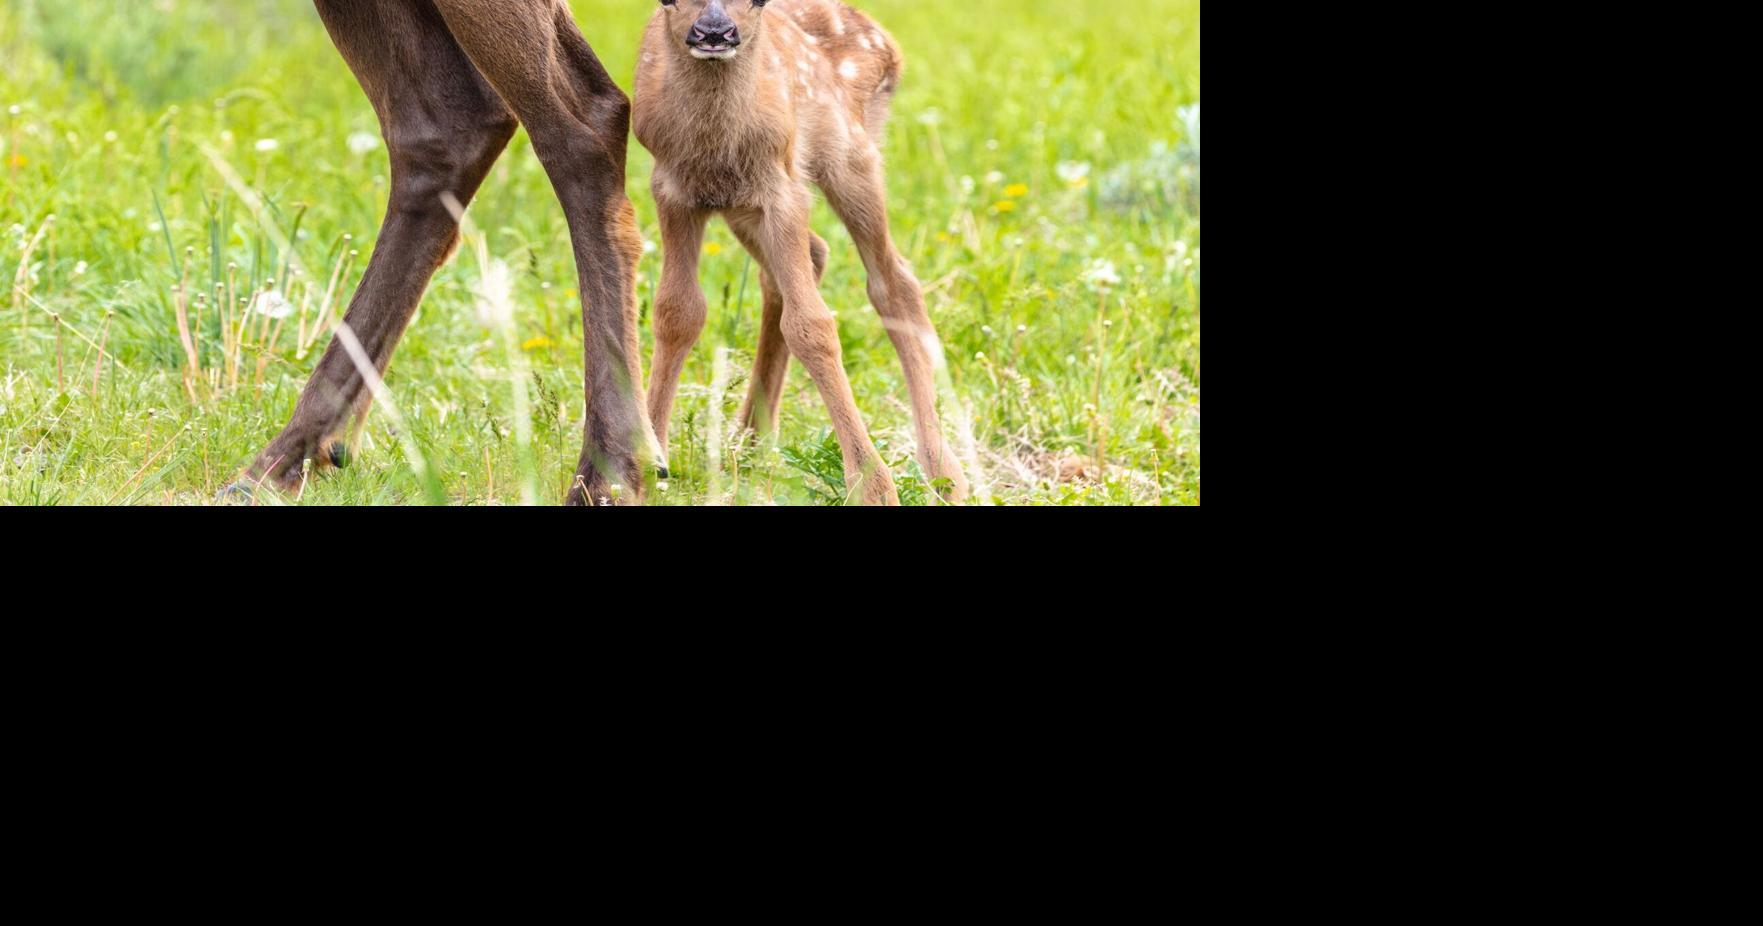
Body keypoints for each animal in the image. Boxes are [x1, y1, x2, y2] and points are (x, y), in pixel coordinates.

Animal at [634, 0, 970, 505]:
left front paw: (871, 484)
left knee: (894, 282)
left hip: (852, 156)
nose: (715, 31)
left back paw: (943, 473)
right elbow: (677, 311)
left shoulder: (783, 187)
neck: (714, 143)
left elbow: (812, 326)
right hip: (744, 208)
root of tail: (889, 46)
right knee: (810, 257)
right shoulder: (672, 189)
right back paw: (750, 439)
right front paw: (650, 462)